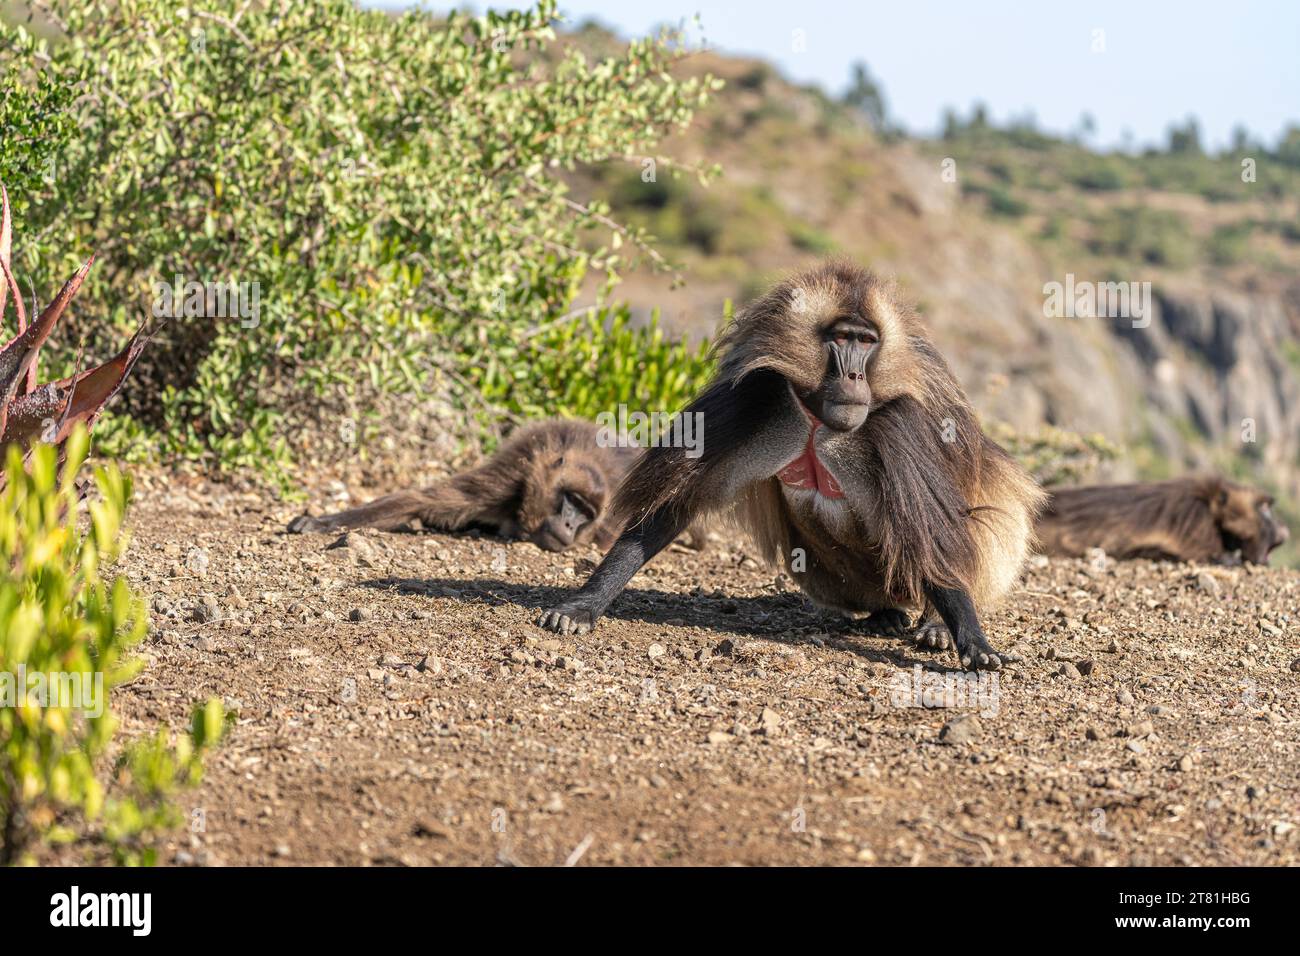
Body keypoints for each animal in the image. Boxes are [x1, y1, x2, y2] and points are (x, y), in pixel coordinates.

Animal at [287, 419, 639, 552]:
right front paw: (323, 521)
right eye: (572, 501)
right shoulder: (511, 477)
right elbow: (421, 500)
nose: (570, 525)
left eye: (585, 514)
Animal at [537, 261, 1046, 670]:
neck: (818, 420)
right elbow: (670, 509)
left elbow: (931, 536)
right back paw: (884, 615)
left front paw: (973, 641)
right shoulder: (754, 397)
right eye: (842, 339)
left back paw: (935, 624)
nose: (854, 375)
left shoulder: (899, 423)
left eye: (868, 342)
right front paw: (587, 602)